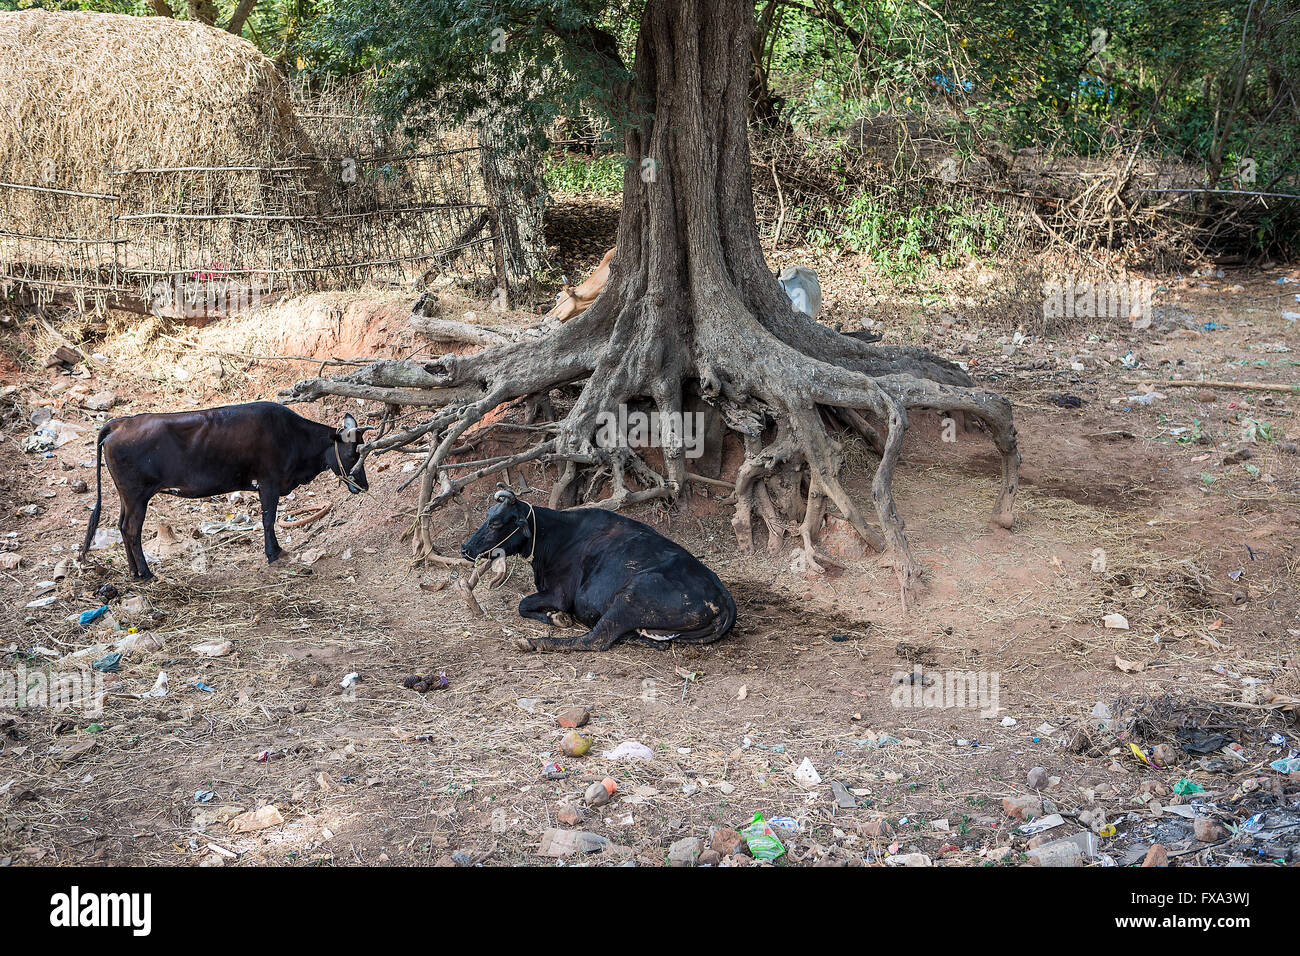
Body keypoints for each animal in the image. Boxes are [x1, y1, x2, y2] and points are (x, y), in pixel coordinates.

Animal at [79, 402, 370, 580]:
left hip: (127, 497)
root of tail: (120, 423)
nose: (364, 485)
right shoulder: (269, 483)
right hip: (137, 495)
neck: (293, 437)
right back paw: (147, 573)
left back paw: (134, 572)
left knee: (122, 526)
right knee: (131, 529)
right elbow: (268, 519)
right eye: (352, 453)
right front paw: (273, 553)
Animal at [460, 489, 737, 652]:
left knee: (595, 639)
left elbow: (522, 604)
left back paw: (532, 642)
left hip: (632, 596)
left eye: (495, 522)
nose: (465, 548)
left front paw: (557, 618)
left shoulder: (560, 594)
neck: (557, 538)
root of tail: (724, 597)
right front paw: (553, 617)